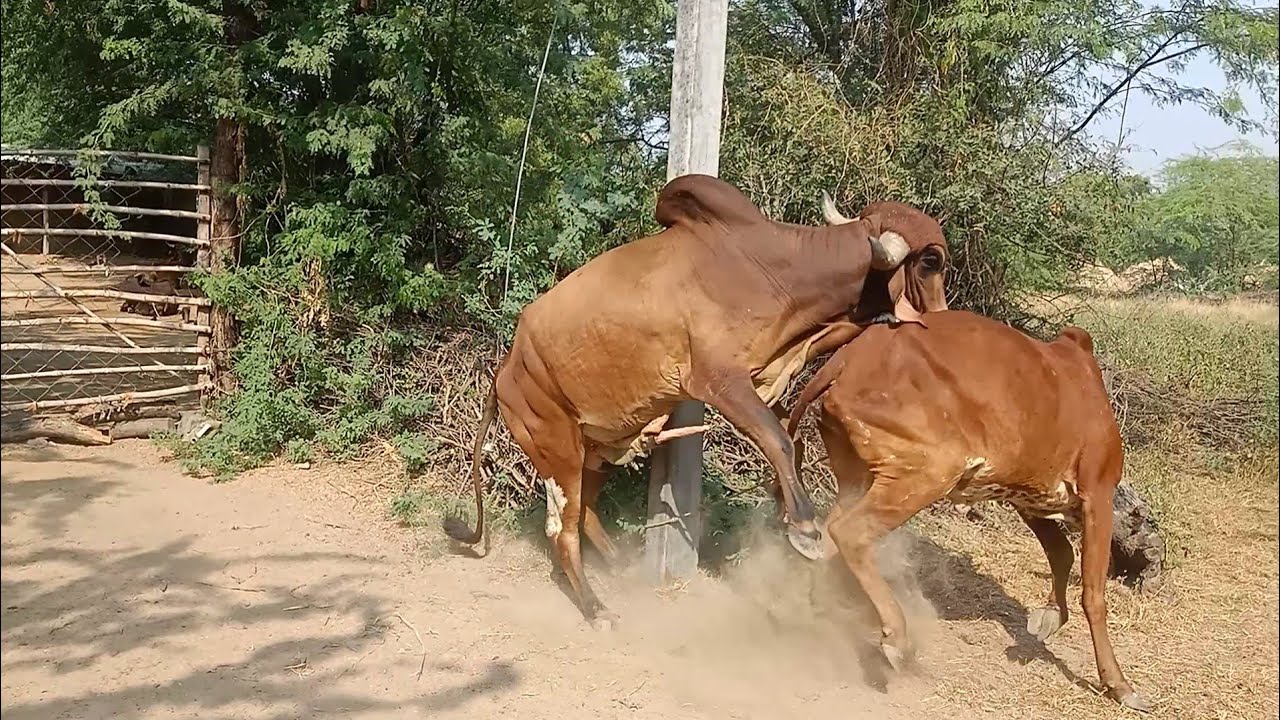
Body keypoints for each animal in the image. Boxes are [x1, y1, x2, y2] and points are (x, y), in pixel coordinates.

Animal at [444, 174, 950, 629]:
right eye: (931, 261)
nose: (942, 317)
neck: (775, 269)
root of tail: (504, 371)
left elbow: (790, 439)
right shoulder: (721, 381)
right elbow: (779, 441)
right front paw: (805, 530)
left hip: (596, 449)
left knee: (585, 512)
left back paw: (618, 566)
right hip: (556, 447)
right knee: (561, 529)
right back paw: (596, 608)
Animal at [784, 310, 1149, 712]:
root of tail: (848, 359)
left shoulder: (1028, 498)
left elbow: (1061, 554)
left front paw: (1049, 618)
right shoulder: (1097, 493)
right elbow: (1093, 593)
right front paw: (1119, 684)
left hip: (859, 473)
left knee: (829, 535)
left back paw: (824, 610)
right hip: (929, 469)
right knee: (850, 532)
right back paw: (897, 640)